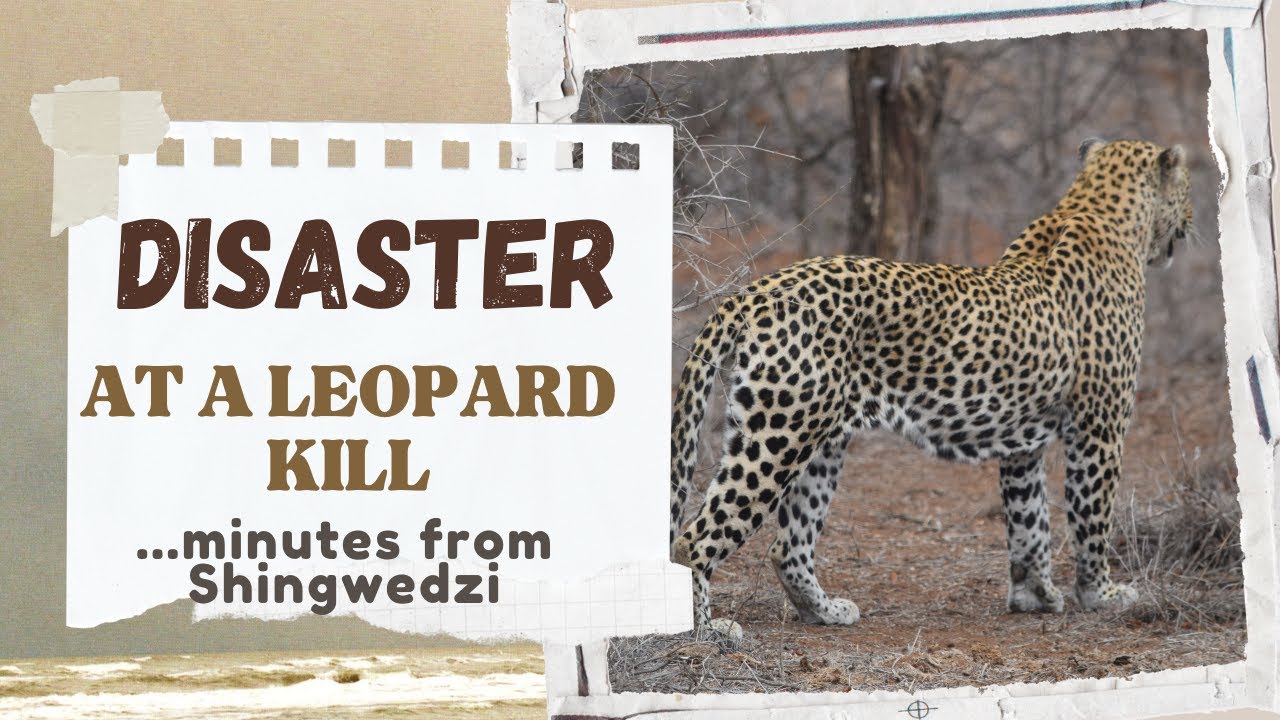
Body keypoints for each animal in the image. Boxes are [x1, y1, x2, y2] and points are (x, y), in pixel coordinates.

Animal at [669, 139, 1194, 637]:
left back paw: (825, 611)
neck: (1095, 207)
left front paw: (1034, 595)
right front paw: (1101, 595)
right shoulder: (1100, 430)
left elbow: (1029, 521)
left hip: (813, 441)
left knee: (787, 545)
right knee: (693, 540)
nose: (1192, 219)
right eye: (1188, 186)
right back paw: (708, 631)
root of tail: (752, 293)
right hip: (777, 439)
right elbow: (1092, 516)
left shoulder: (1023, 445)